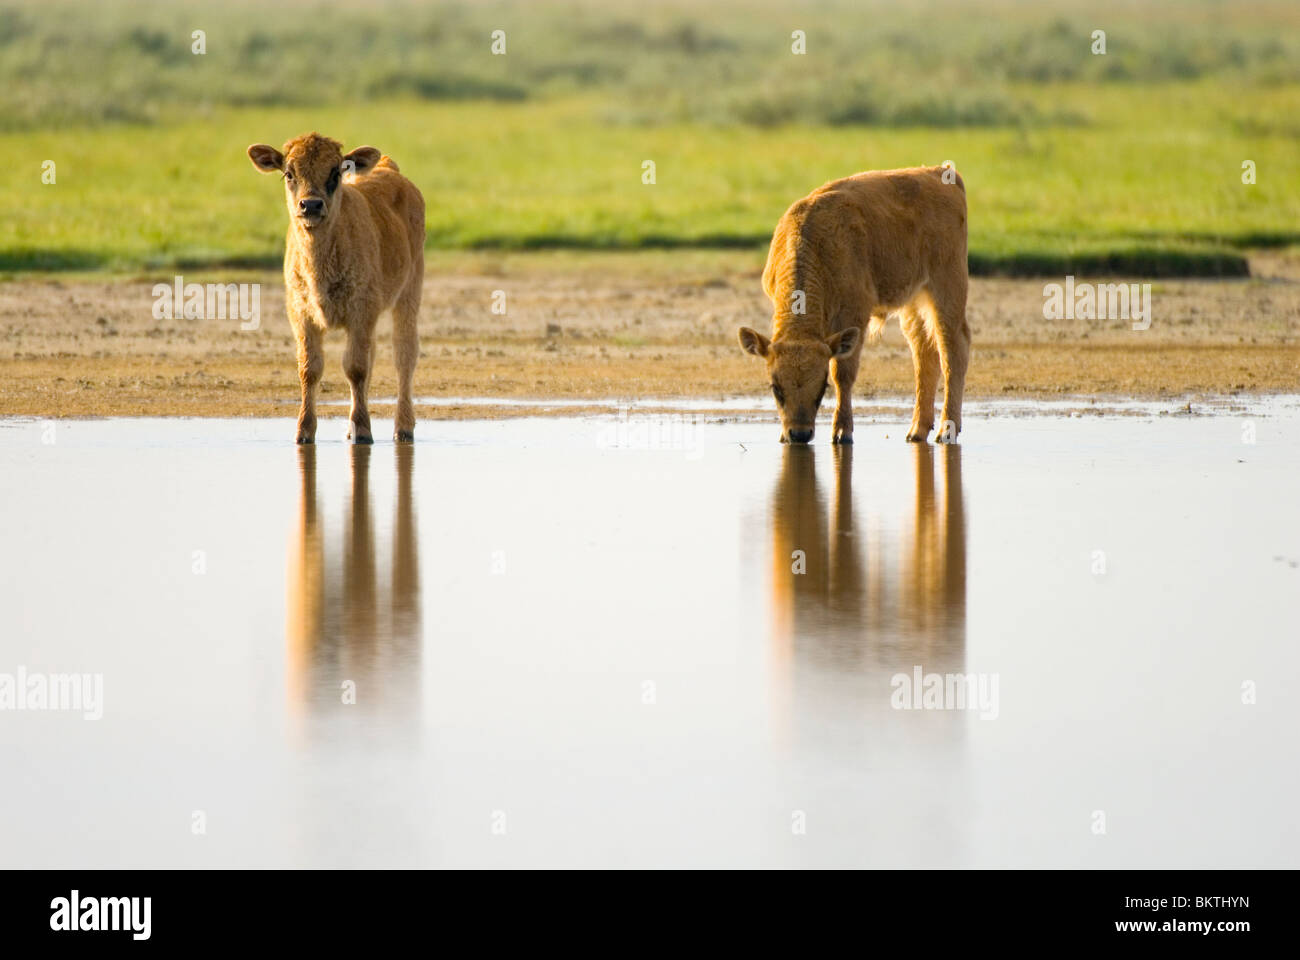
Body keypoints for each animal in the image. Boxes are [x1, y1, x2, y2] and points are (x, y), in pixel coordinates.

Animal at [247, 132, 425, 444]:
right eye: (289, 173)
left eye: (335, 172)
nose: (311, 205)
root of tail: (388, 168)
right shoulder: (301, 314)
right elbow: (310, 368)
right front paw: (304, 432)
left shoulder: (361, 312)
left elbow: (355, 367)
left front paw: (363, 431)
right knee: (376, 354)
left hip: (409, 293)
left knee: (404, 354)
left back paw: (403, 428)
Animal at [738, 166, 969, 444]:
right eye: (776, 388)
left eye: (822, 387)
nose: (799, 434)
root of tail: (941, 172)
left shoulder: (854, 315)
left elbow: (843, 372)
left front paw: (842, 431)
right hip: (913, 302)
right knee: (924, 353)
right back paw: (916, 430)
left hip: (946, 291)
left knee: (952, 350)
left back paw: (946, 430)